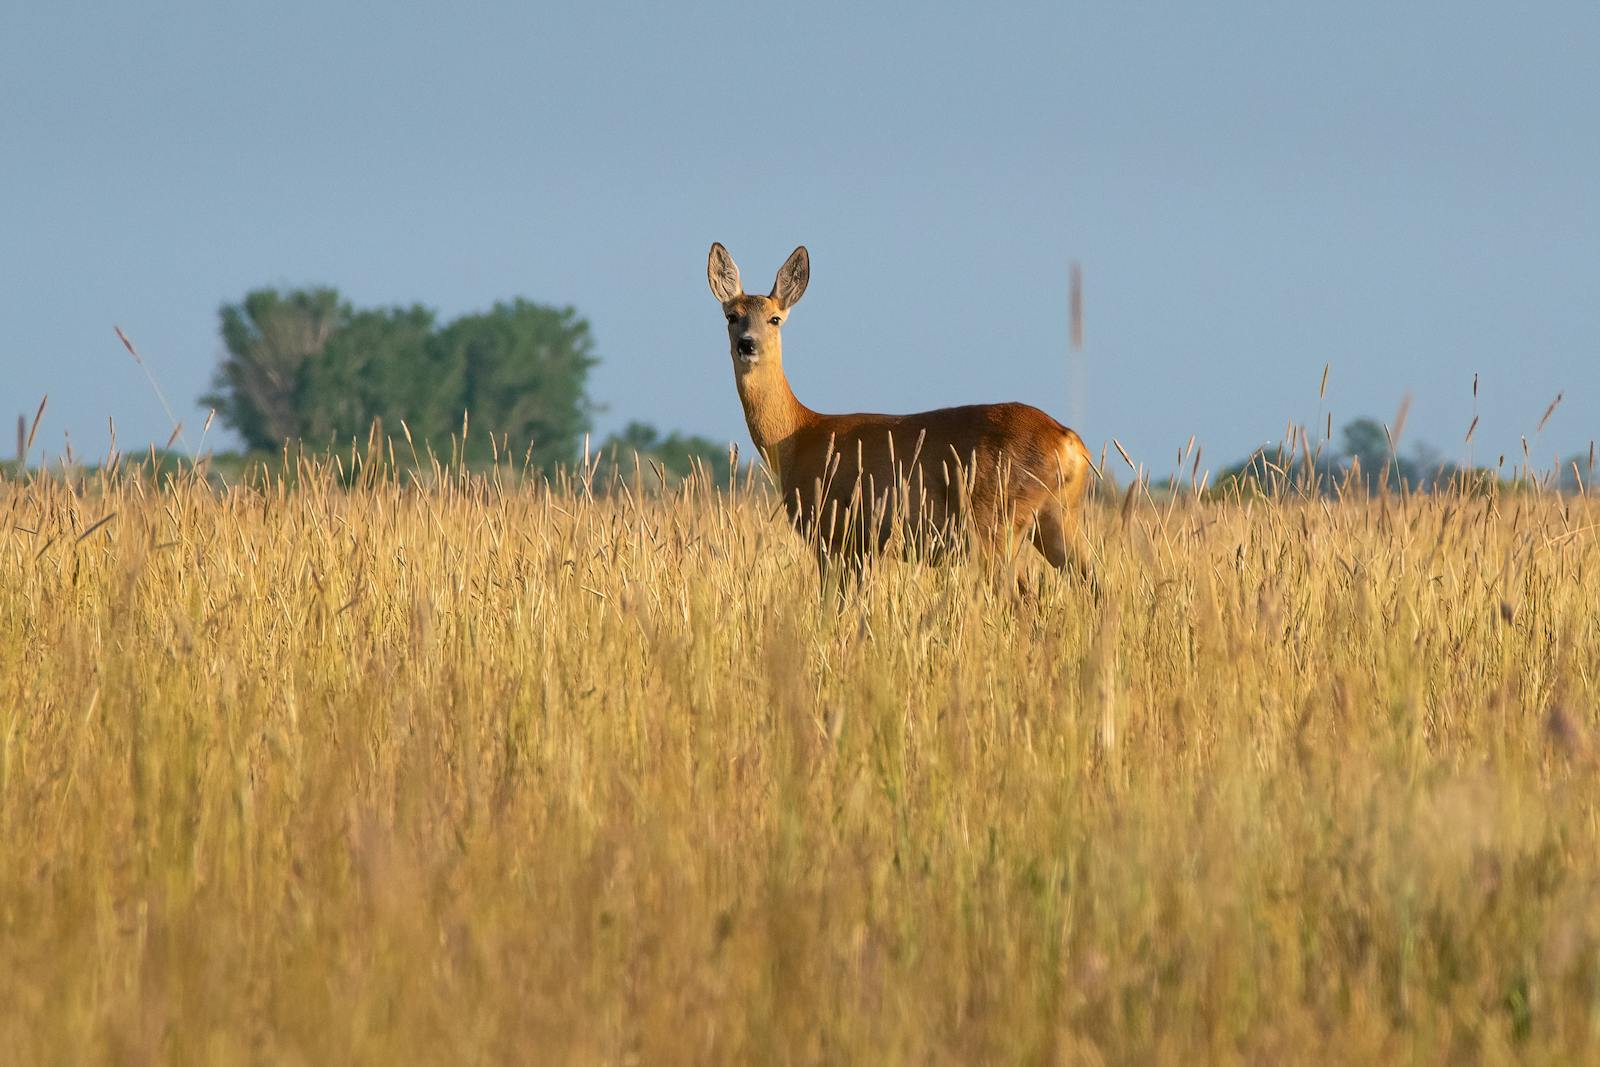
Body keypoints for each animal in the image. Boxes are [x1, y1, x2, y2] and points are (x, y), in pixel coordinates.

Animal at [709, 242, 1096, 594]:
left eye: (774, 318)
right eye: (732, 316)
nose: (747, 344)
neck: (798, 434)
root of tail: (1069, 441)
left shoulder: (833, 532)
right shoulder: (860, 544)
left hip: (993, 522)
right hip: (1058, 518)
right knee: (1095, 587)